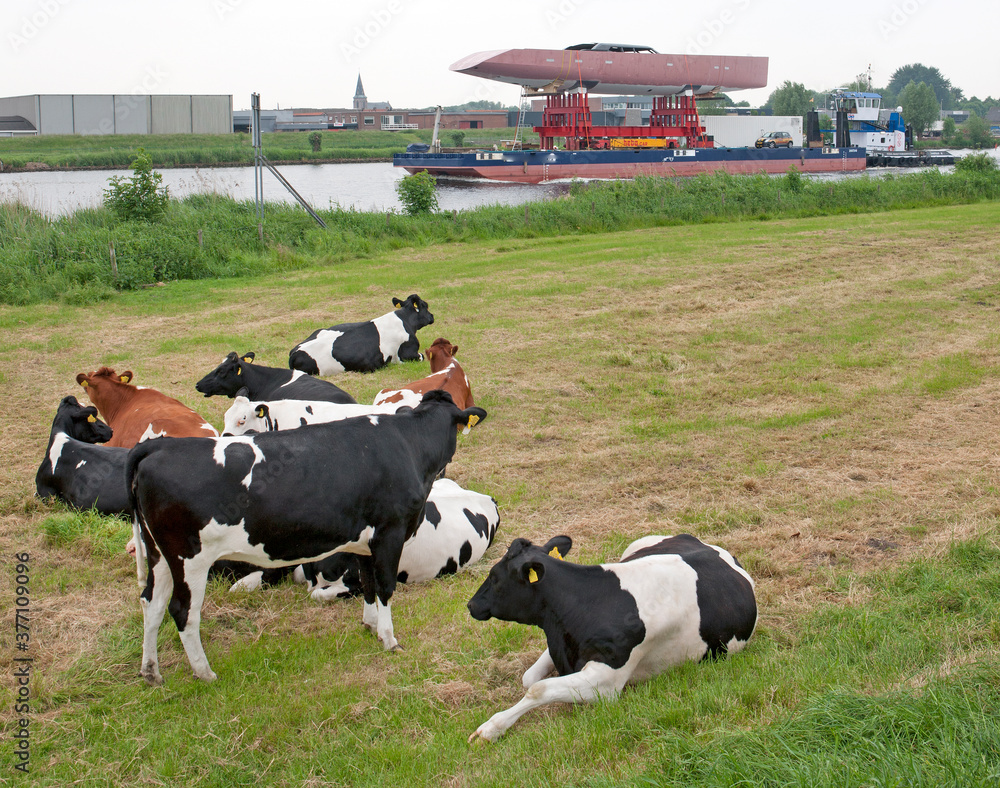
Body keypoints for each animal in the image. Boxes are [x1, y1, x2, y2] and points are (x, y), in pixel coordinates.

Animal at [127, 389, 487, 685]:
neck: (408, 445)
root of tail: (157, 447)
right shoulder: (390, 533)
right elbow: (384, 588)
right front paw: (389, 639)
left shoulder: (363, 540)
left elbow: (368, 584)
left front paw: (370, 626)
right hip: (189, 557)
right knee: (182, 610)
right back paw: (204, 673)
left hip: (159, 553)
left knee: (151, 602)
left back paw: (151, 671)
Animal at [288, 294, 434, 376]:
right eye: (426, 305)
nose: (432, 316)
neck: (404, 319)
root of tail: (294, 352)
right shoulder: (409, 354)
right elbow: (421, 356)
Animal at [466, 533, 757, 742]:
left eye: (494, 577)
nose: (470, 605)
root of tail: (716, 550)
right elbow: (529, 679)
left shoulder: (606, 682)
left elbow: (538, 689)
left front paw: (489, 729)